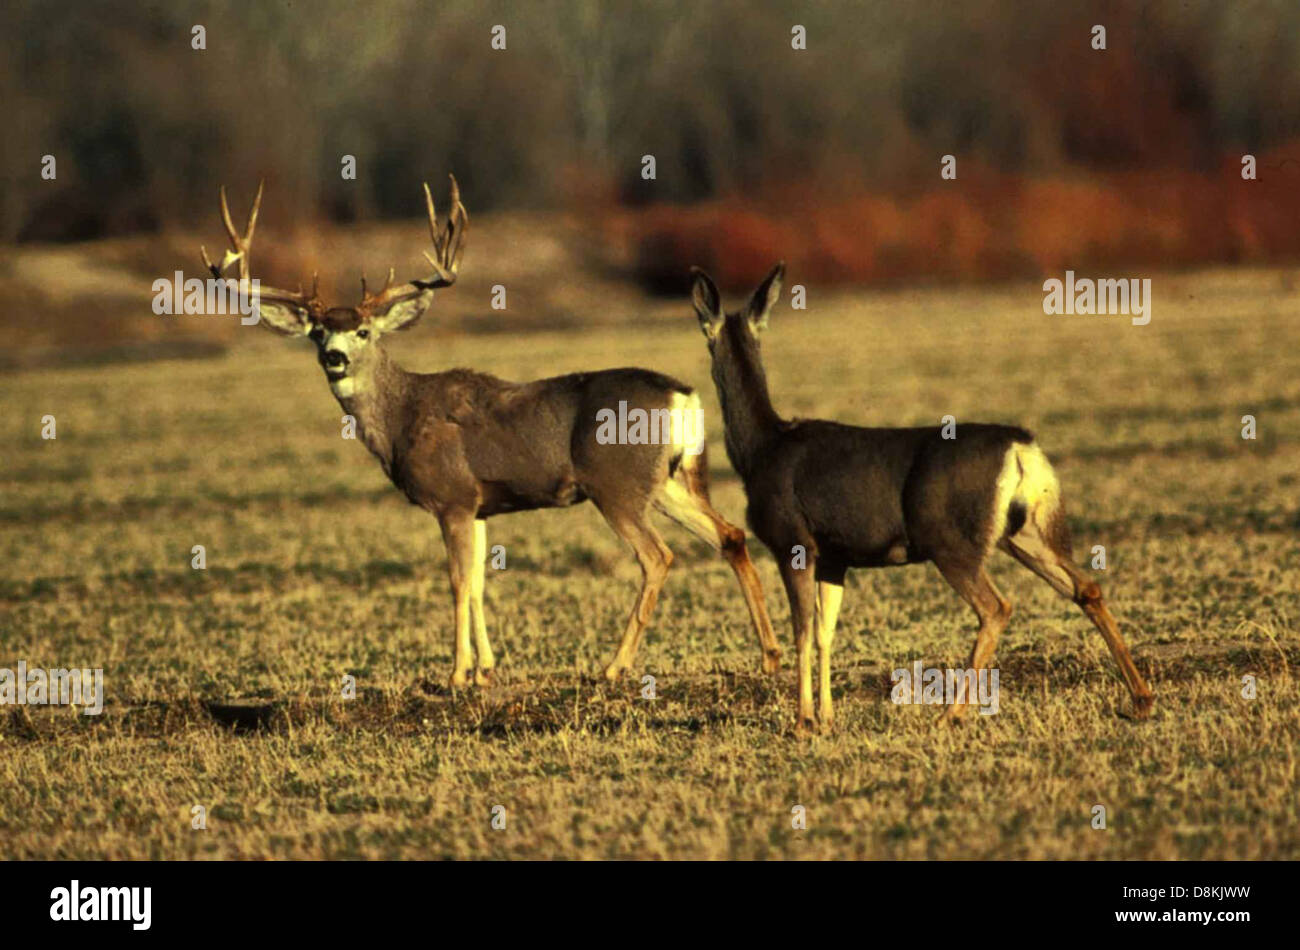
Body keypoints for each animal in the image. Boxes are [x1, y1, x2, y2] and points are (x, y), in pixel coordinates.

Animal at [200, 177, 782, 689]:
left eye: (363, 331)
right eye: (318, 332)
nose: (335, 358)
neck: (402, 417)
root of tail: (683, 397)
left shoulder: (453, 496)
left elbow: (458, 581)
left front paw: (457, 674)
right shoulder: (480, 506)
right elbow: (480, 582)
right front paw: (486, 669)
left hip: (616, 484)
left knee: (658, 557)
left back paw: (614, 667)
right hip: (670, 480)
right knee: (730, 535)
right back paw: (770, 655)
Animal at [688, 261, 1155, 733]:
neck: (762, 449)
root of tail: (1022, 448)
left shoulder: (792, 540)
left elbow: (802, 631)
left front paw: (803, 722)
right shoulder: (836, 555)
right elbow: (825, 634)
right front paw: (827, 717)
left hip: (949, 538)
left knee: (997, 607)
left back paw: (950, 713)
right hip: (1023, 532)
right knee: (1086, 587)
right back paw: (1141, 699)